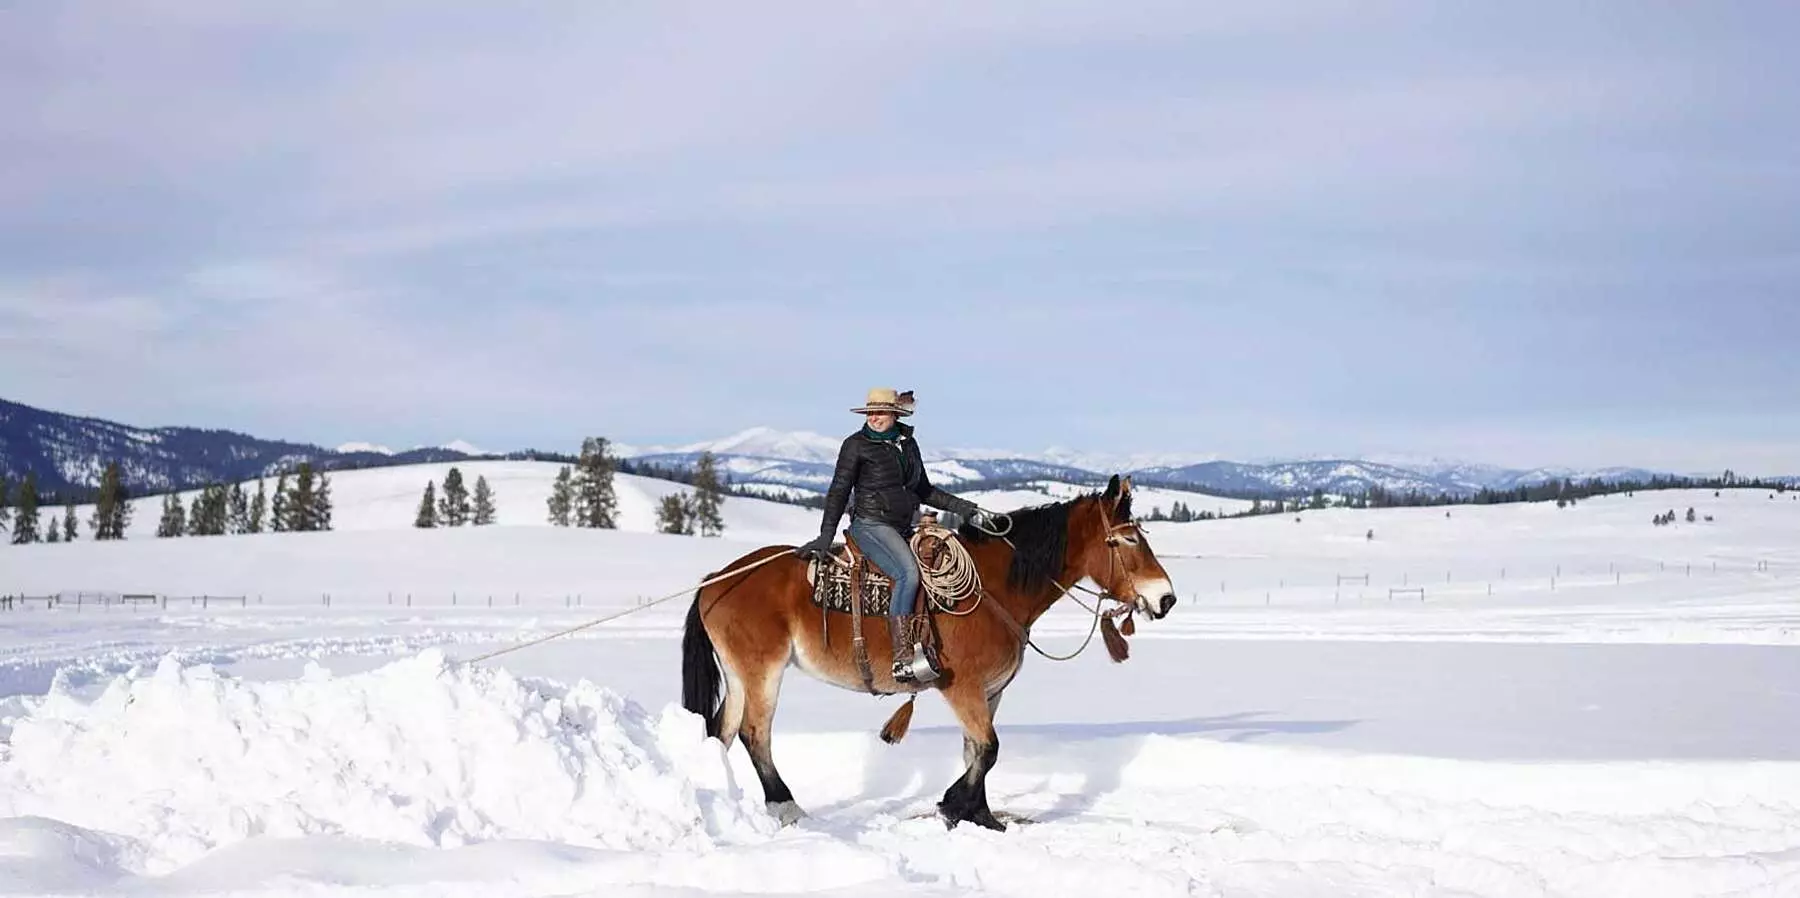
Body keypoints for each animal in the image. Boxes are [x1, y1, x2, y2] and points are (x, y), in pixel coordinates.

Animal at [676, 475, 1180, 831]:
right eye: (1127, 540)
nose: (1167, 598)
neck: (995, 589)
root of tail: (718, 578)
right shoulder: (963, 688)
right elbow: (989, 749)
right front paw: (955, 805)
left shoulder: (991, 691)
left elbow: (976, 752)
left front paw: (979, 815)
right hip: (762, 669)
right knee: (754, 734)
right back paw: (786, 807)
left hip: (739, 674)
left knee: (721, 732)